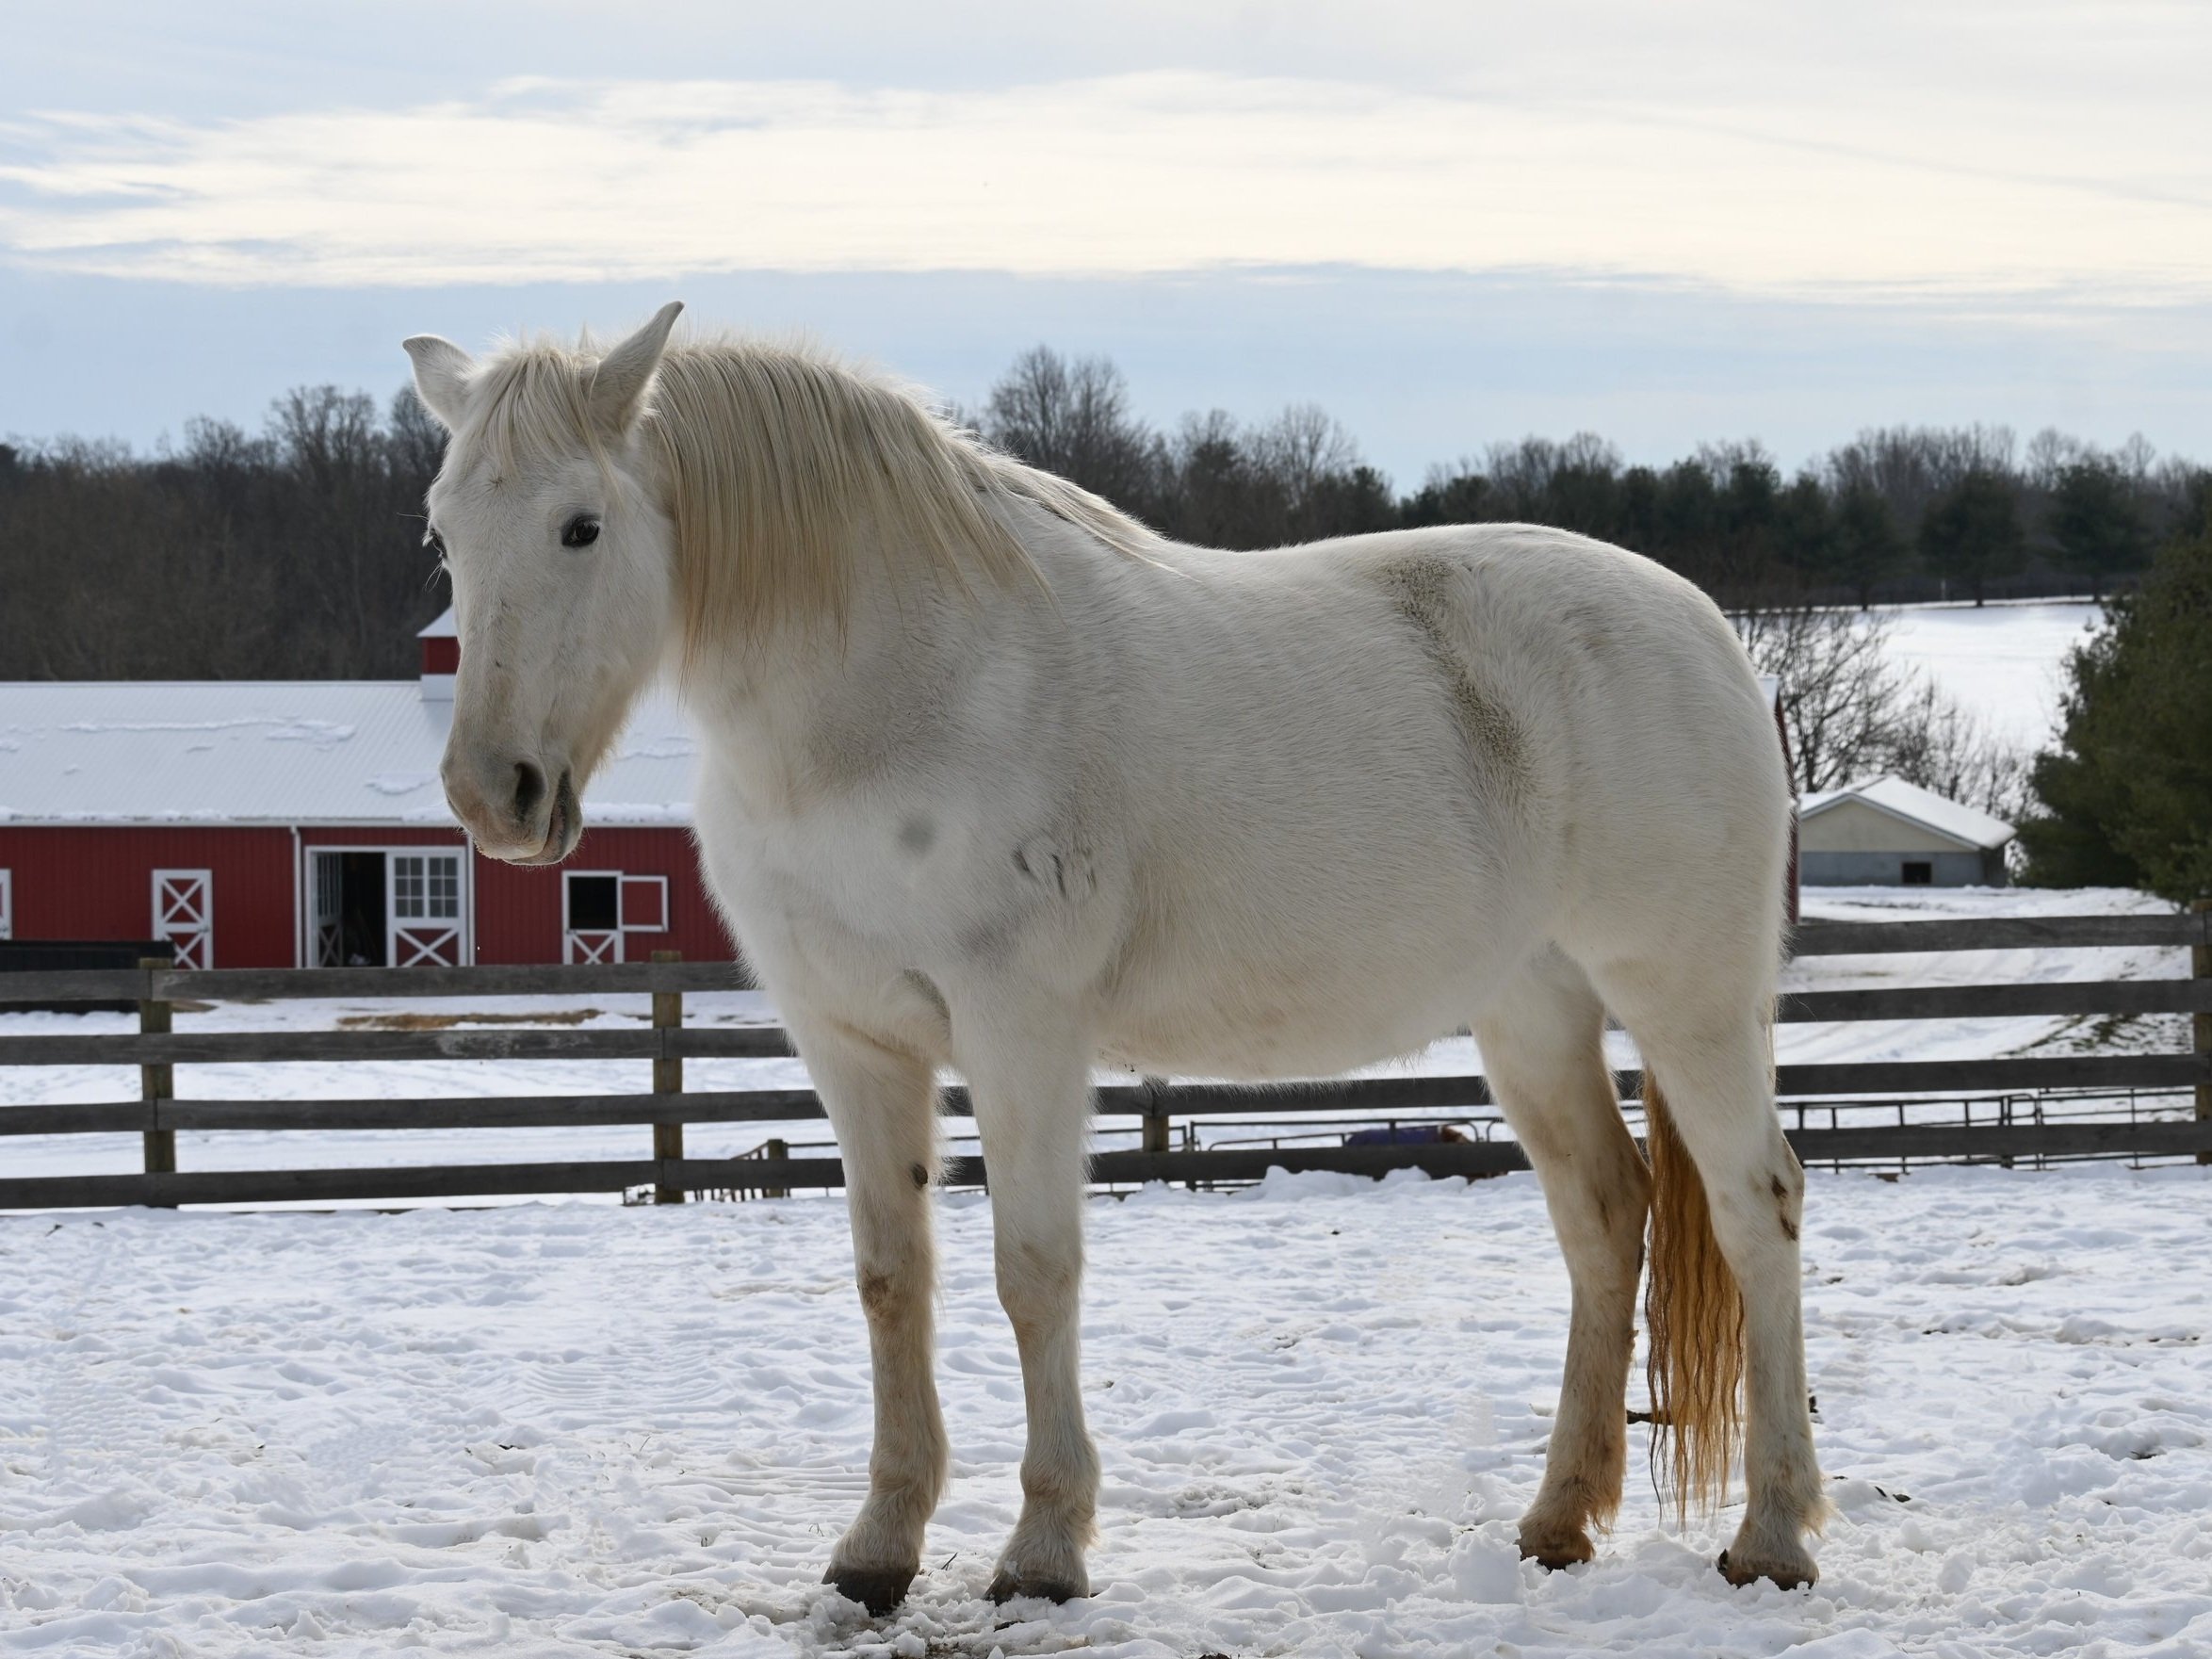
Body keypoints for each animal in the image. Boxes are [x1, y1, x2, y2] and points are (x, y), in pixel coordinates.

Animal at [402, 302, 1826, 1611]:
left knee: (1754, 1207)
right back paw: (1557, 1521)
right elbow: (890, 1281)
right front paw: (878, 1547)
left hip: (1687, 1000)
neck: (893, 693)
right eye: (445, 529)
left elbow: (1032, 1274)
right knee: (1604, 1220)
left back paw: (1772, 1536)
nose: (491, 794)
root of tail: (1705, 631)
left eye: (580, 526)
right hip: (1531, 1012)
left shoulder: (1020, 1033)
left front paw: (1042, 1549)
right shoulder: (853, 1045)